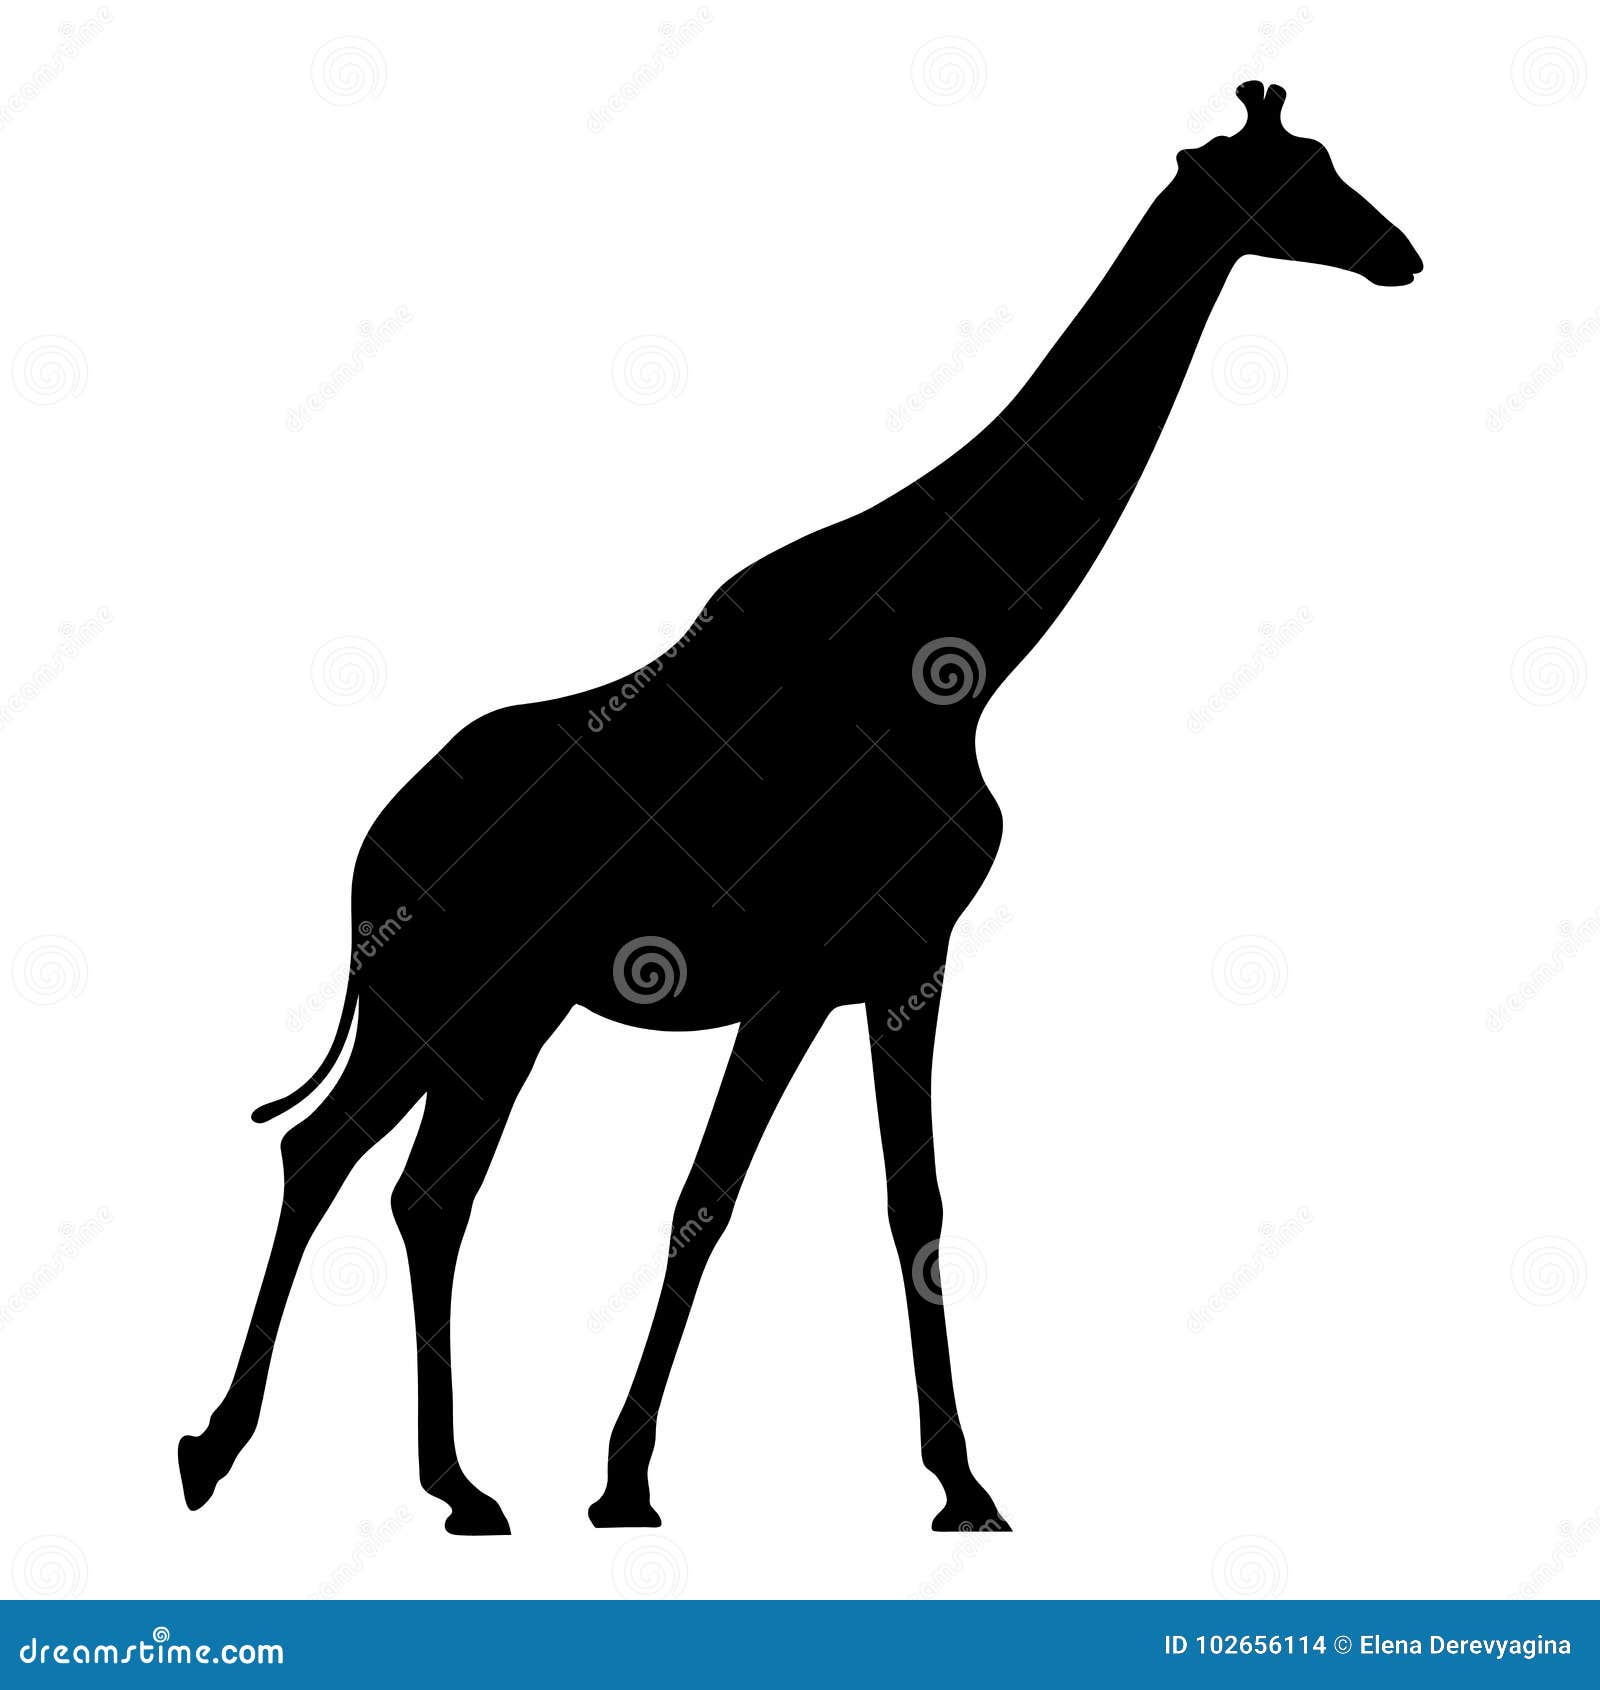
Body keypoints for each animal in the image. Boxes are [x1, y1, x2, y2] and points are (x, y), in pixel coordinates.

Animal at [180, 83, 1420, 1535]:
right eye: (1300, 177)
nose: (1402, 253)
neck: (957, 648)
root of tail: (370, 850)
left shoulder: (891, 960)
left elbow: (907, 1207)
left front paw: (957, 1483)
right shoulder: (818, 967)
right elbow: (712, 1202)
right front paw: (629, 1481)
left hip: (492, 1012)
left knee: (405, 1185)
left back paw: (451, 1483)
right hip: (456, 998)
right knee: (345, 1161)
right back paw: (229, 1451)